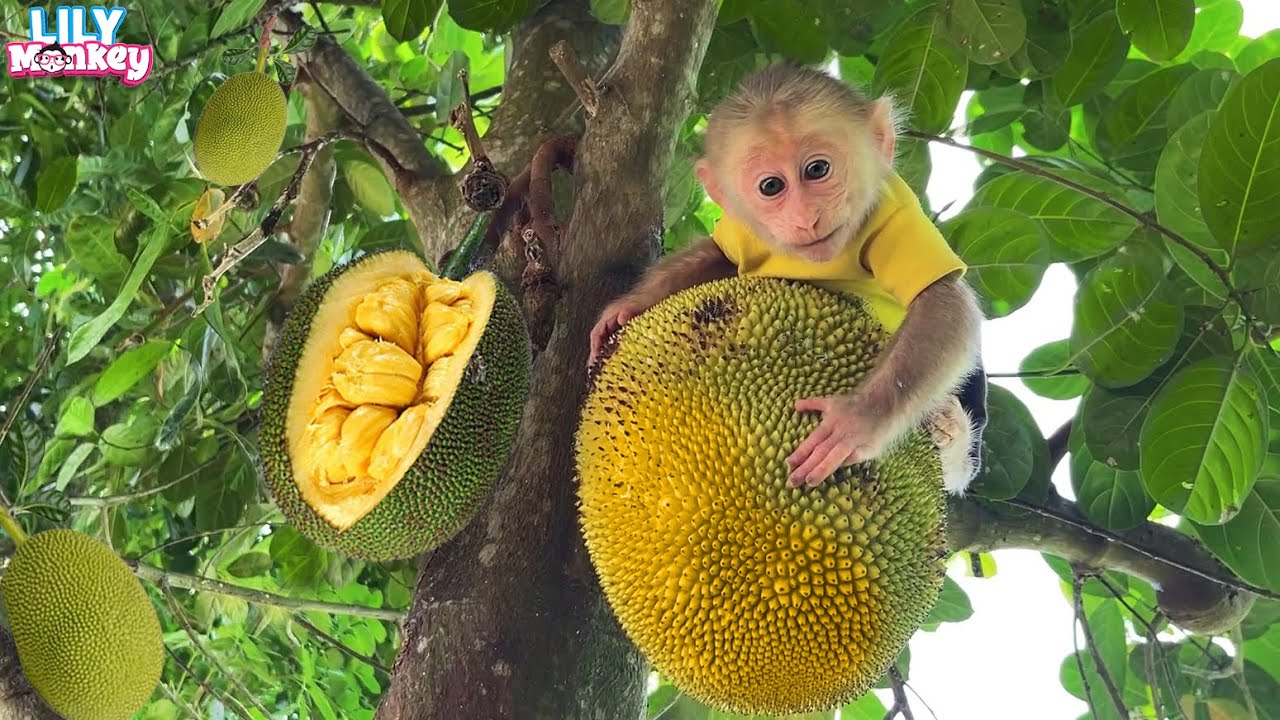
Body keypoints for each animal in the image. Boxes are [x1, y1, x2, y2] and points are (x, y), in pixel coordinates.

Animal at [587, 62, 988, 496]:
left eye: (818, 169)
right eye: (771, 186)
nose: (806, 217)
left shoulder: (893, 210)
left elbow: (940, 300)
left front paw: (857, 422)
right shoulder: (741, 228)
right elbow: (717, 255)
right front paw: (626, 307)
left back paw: (952, 434)